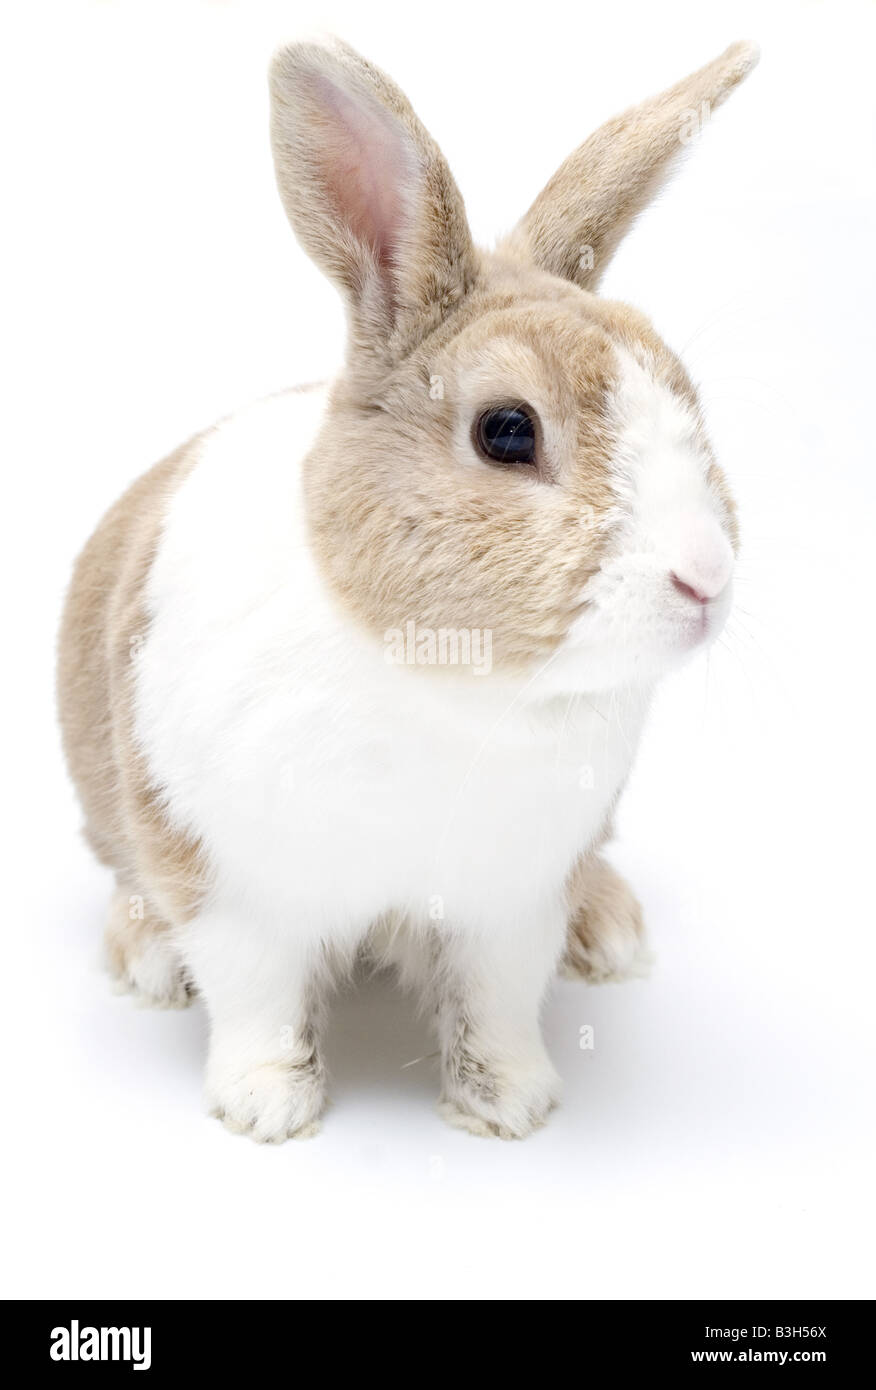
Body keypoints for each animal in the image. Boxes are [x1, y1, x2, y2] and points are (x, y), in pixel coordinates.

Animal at [57, 37, 758, 1141]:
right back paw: (147, 959)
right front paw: (266, 1108)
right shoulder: (231, 884)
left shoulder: (512, 902)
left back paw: (609, 934)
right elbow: (255, 995)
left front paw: (511, 1105)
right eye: (507, 431)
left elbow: (497, 1001)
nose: (707, 577)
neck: (452, 684)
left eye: (685, 394)